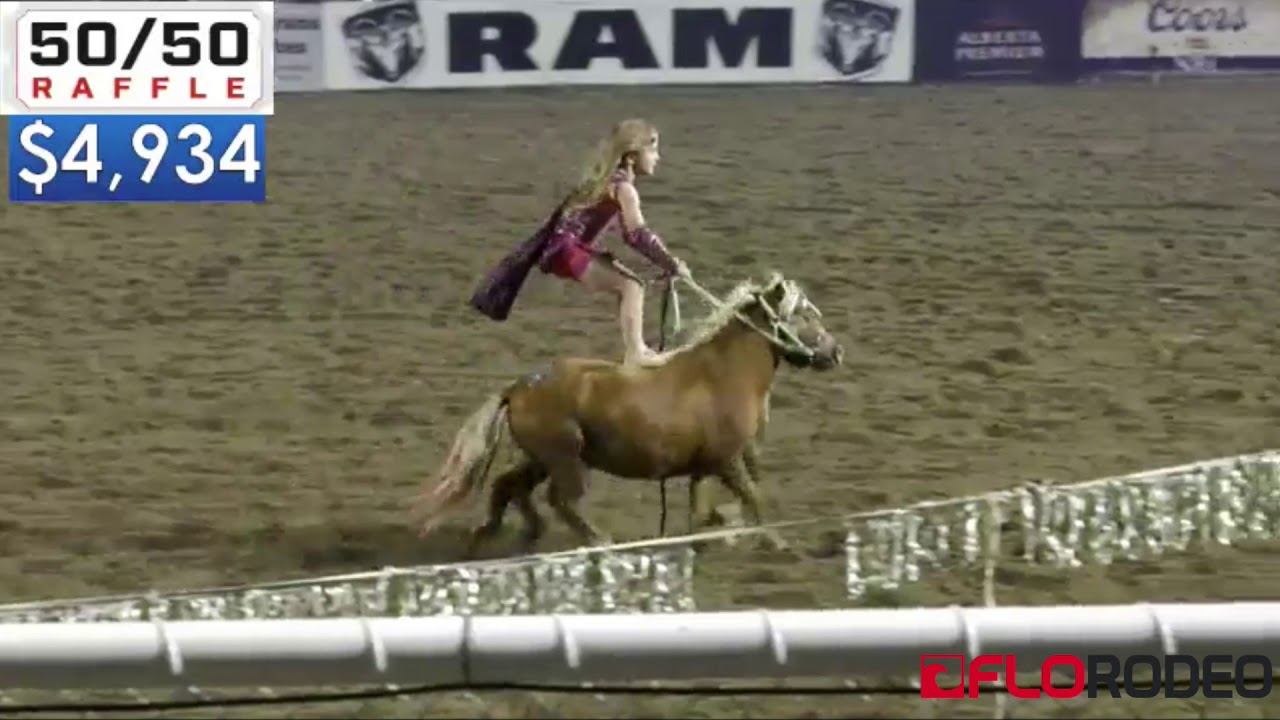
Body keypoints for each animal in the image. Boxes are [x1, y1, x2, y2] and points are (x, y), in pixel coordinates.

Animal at [413, 272, 844, 555]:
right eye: (805, 316)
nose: (835, 352)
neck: (723, 374)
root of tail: (520, 386)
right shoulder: (728, 459)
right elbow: (755, 498)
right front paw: (777, 541)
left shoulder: (706, 466)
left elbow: (705, 510)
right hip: (566, 458)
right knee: (561, 500)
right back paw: (596, 540)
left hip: (540, 459)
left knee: (508, 487)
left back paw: (508, 533)